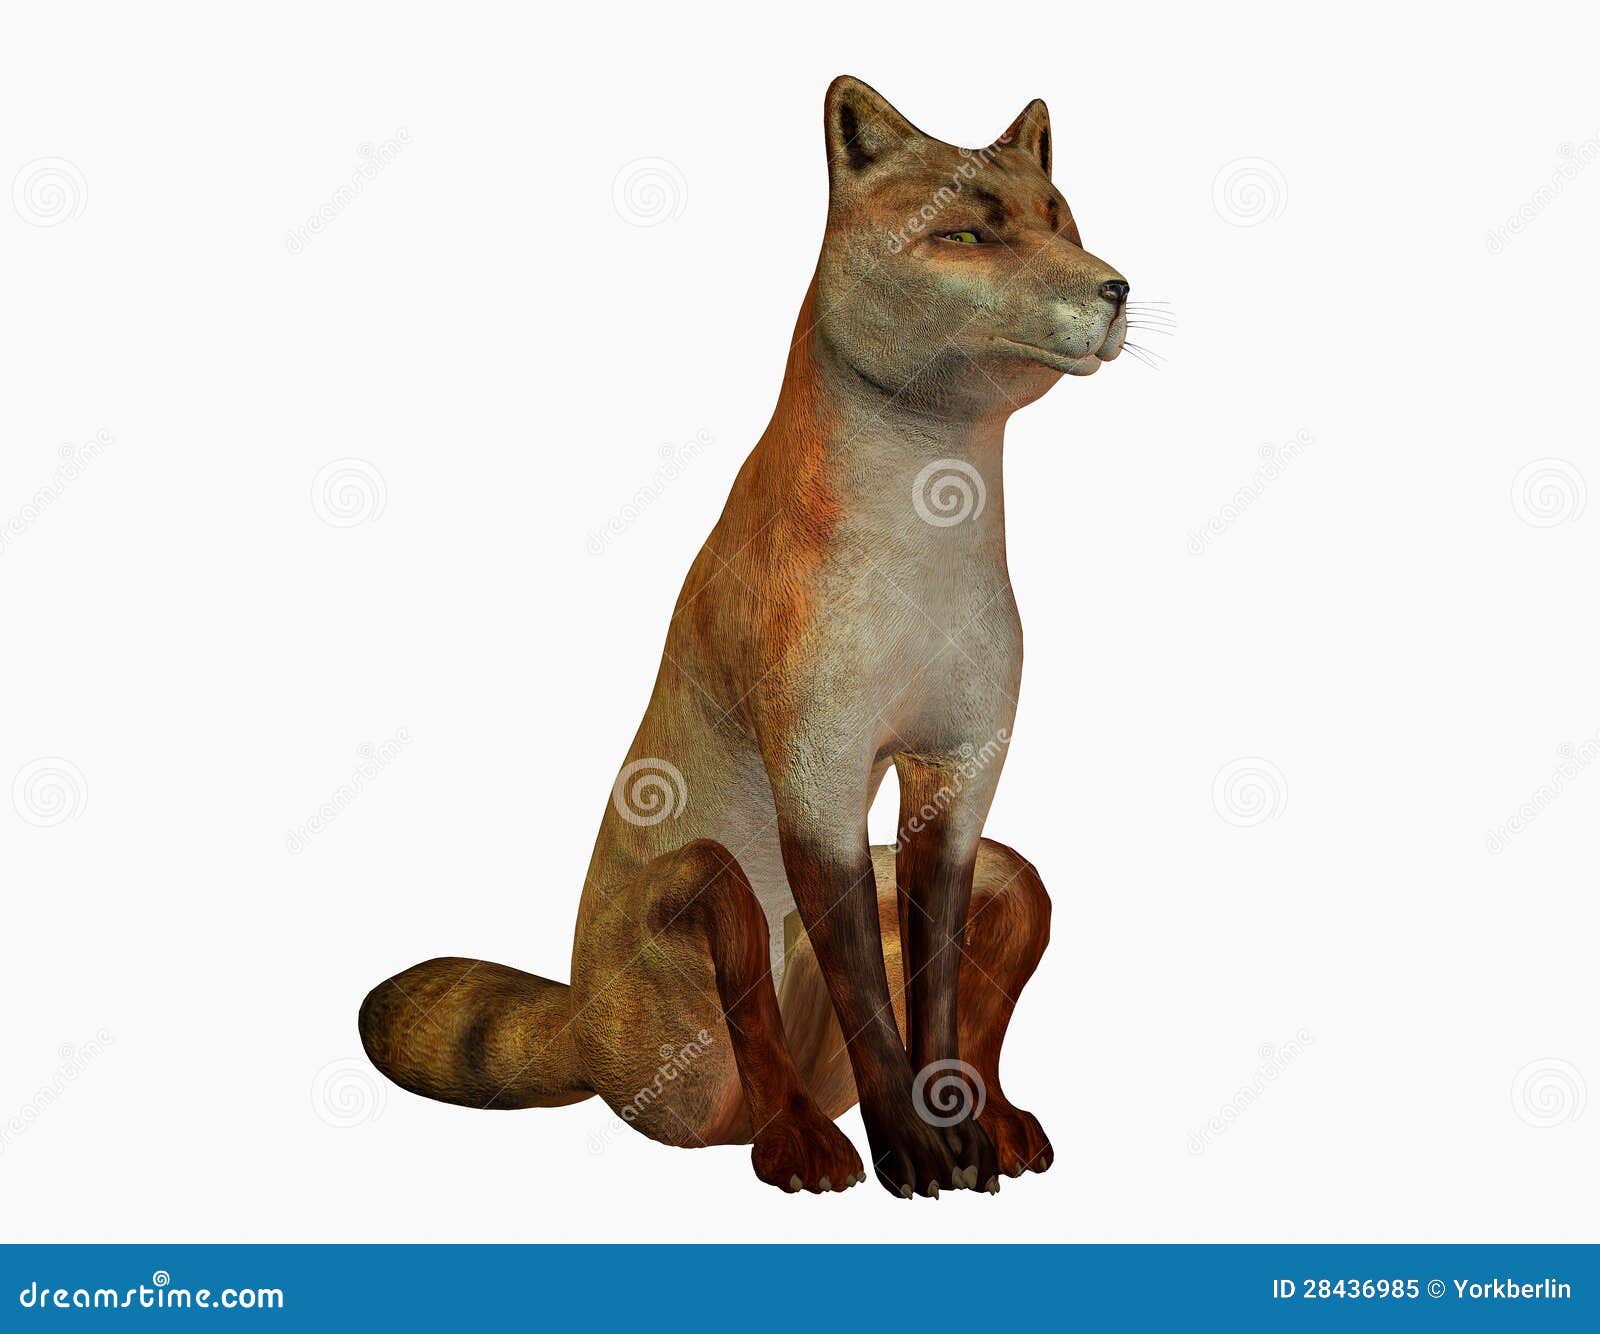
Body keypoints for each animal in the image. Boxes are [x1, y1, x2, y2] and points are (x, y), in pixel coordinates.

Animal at [359, 75, 1130, 1198]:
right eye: (966, 234)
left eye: (1058, 222)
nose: (1116, 287)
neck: (928, 553)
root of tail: (578, 1022)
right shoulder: (817, 772)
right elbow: (871, 998)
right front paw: (909, 1147)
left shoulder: (957, 775)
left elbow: (936, 995)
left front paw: (954, 1129)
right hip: (703, 883)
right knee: (753, 1044)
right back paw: (801, 1140)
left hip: (1006, 876)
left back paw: (993, 1122)